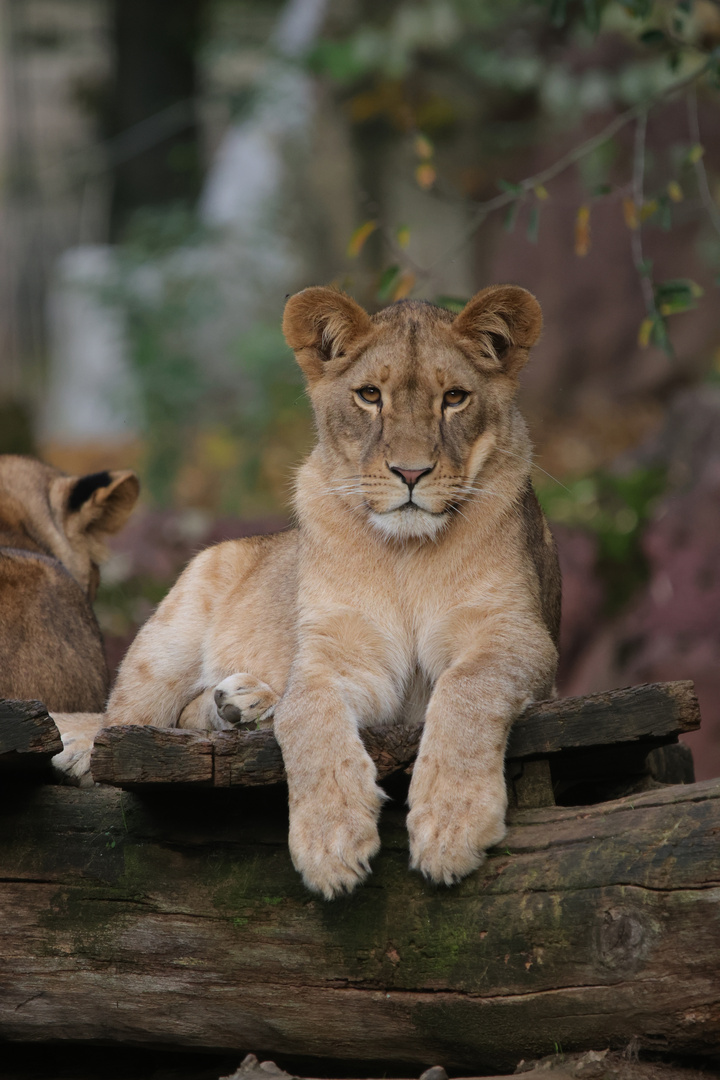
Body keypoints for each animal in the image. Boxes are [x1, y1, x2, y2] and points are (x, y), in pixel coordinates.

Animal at [56, 285, 560, 898]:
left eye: (455, 398)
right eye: (370, 395)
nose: (410, 473)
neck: (406, 556)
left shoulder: (519, 634)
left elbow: (466, 690)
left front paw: (451, 822)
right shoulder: (336, 654)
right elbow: (309, 716)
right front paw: (331, 841)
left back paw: (242, 704)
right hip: (169, 634)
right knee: (122, 726)